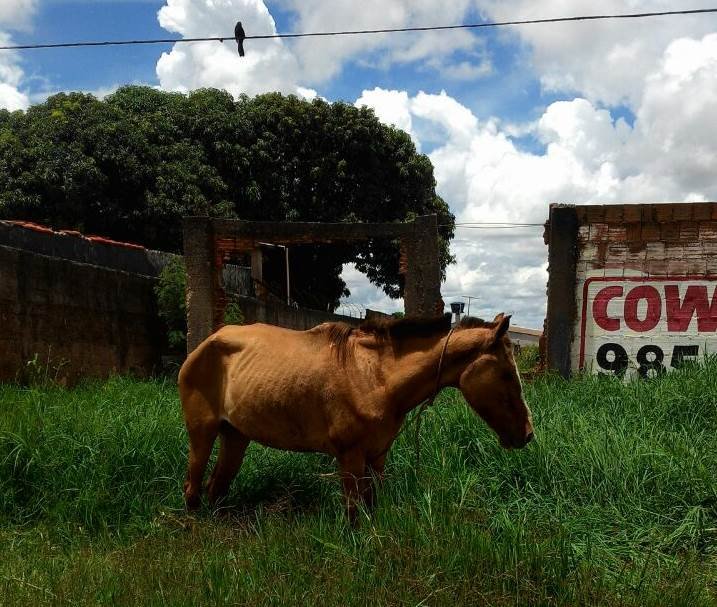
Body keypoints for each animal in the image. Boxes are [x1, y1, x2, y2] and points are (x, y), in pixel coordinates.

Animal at [178, 314, 532, 524]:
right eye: (506, 374)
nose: (527, 434)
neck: (376, 377)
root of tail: (205, 343)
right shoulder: (349, 457)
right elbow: (353, 514)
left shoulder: (377, 457)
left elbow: (371, 505)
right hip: (201, 434)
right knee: (193, 487)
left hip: (235, 437)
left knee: (216, 487)